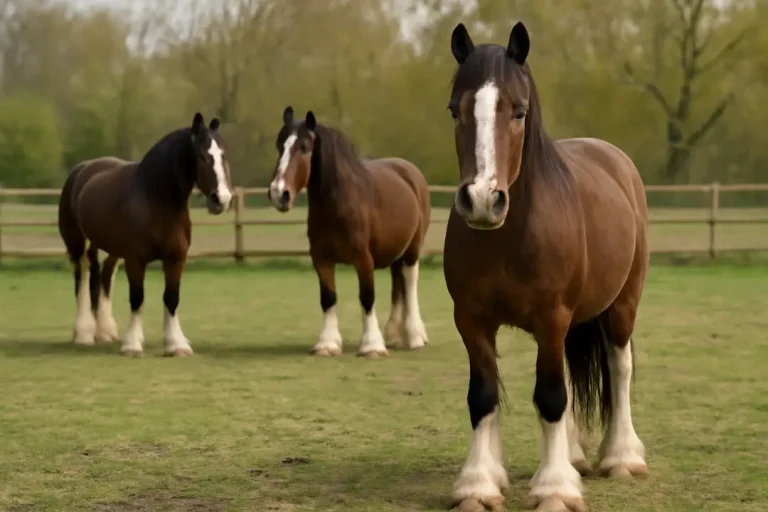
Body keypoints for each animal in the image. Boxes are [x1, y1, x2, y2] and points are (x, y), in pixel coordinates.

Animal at [57, 113, 233, 357]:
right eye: (201, 156)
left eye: (224, 155)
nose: (222, 199)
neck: (155, 199)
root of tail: (82, 169)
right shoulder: (135, 259)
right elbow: (137, 297)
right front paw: (132, 344)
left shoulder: (175, 259)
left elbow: (171, 298)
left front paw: (176, 344)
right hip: (77, 243)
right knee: (82, 276)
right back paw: (84, 333)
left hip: (109, 248)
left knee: (105, 275)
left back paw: (105, 331)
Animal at [266, 106, 431, 358]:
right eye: (279, 146)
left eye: (304, 147)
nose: (278, 193)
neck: (339, 204)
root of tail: (410, 171)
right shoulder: (321, 259)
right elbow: (328, 298)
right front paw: (327, 344)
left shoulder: (364, 260)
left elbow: (367, 297)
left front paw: (372, 346)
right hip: (396, 251)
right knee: (398, 284)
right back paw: (394, 334)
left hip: (412, 250)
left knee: (410, 282)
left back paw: (414, 336)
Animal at [443, 22, 649, 512]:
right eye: (455, 111)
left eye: (518, 112)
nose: (482, 199)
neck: (508, 237)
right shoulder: (471, 320)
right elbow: (483, 395)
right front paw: (479, 483)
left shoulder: (551, 317)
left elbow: (552, 396)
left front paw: (555, 489)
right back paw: (573, 456)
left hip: (621, 306)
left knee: (619, 368)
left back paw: (622, 457)